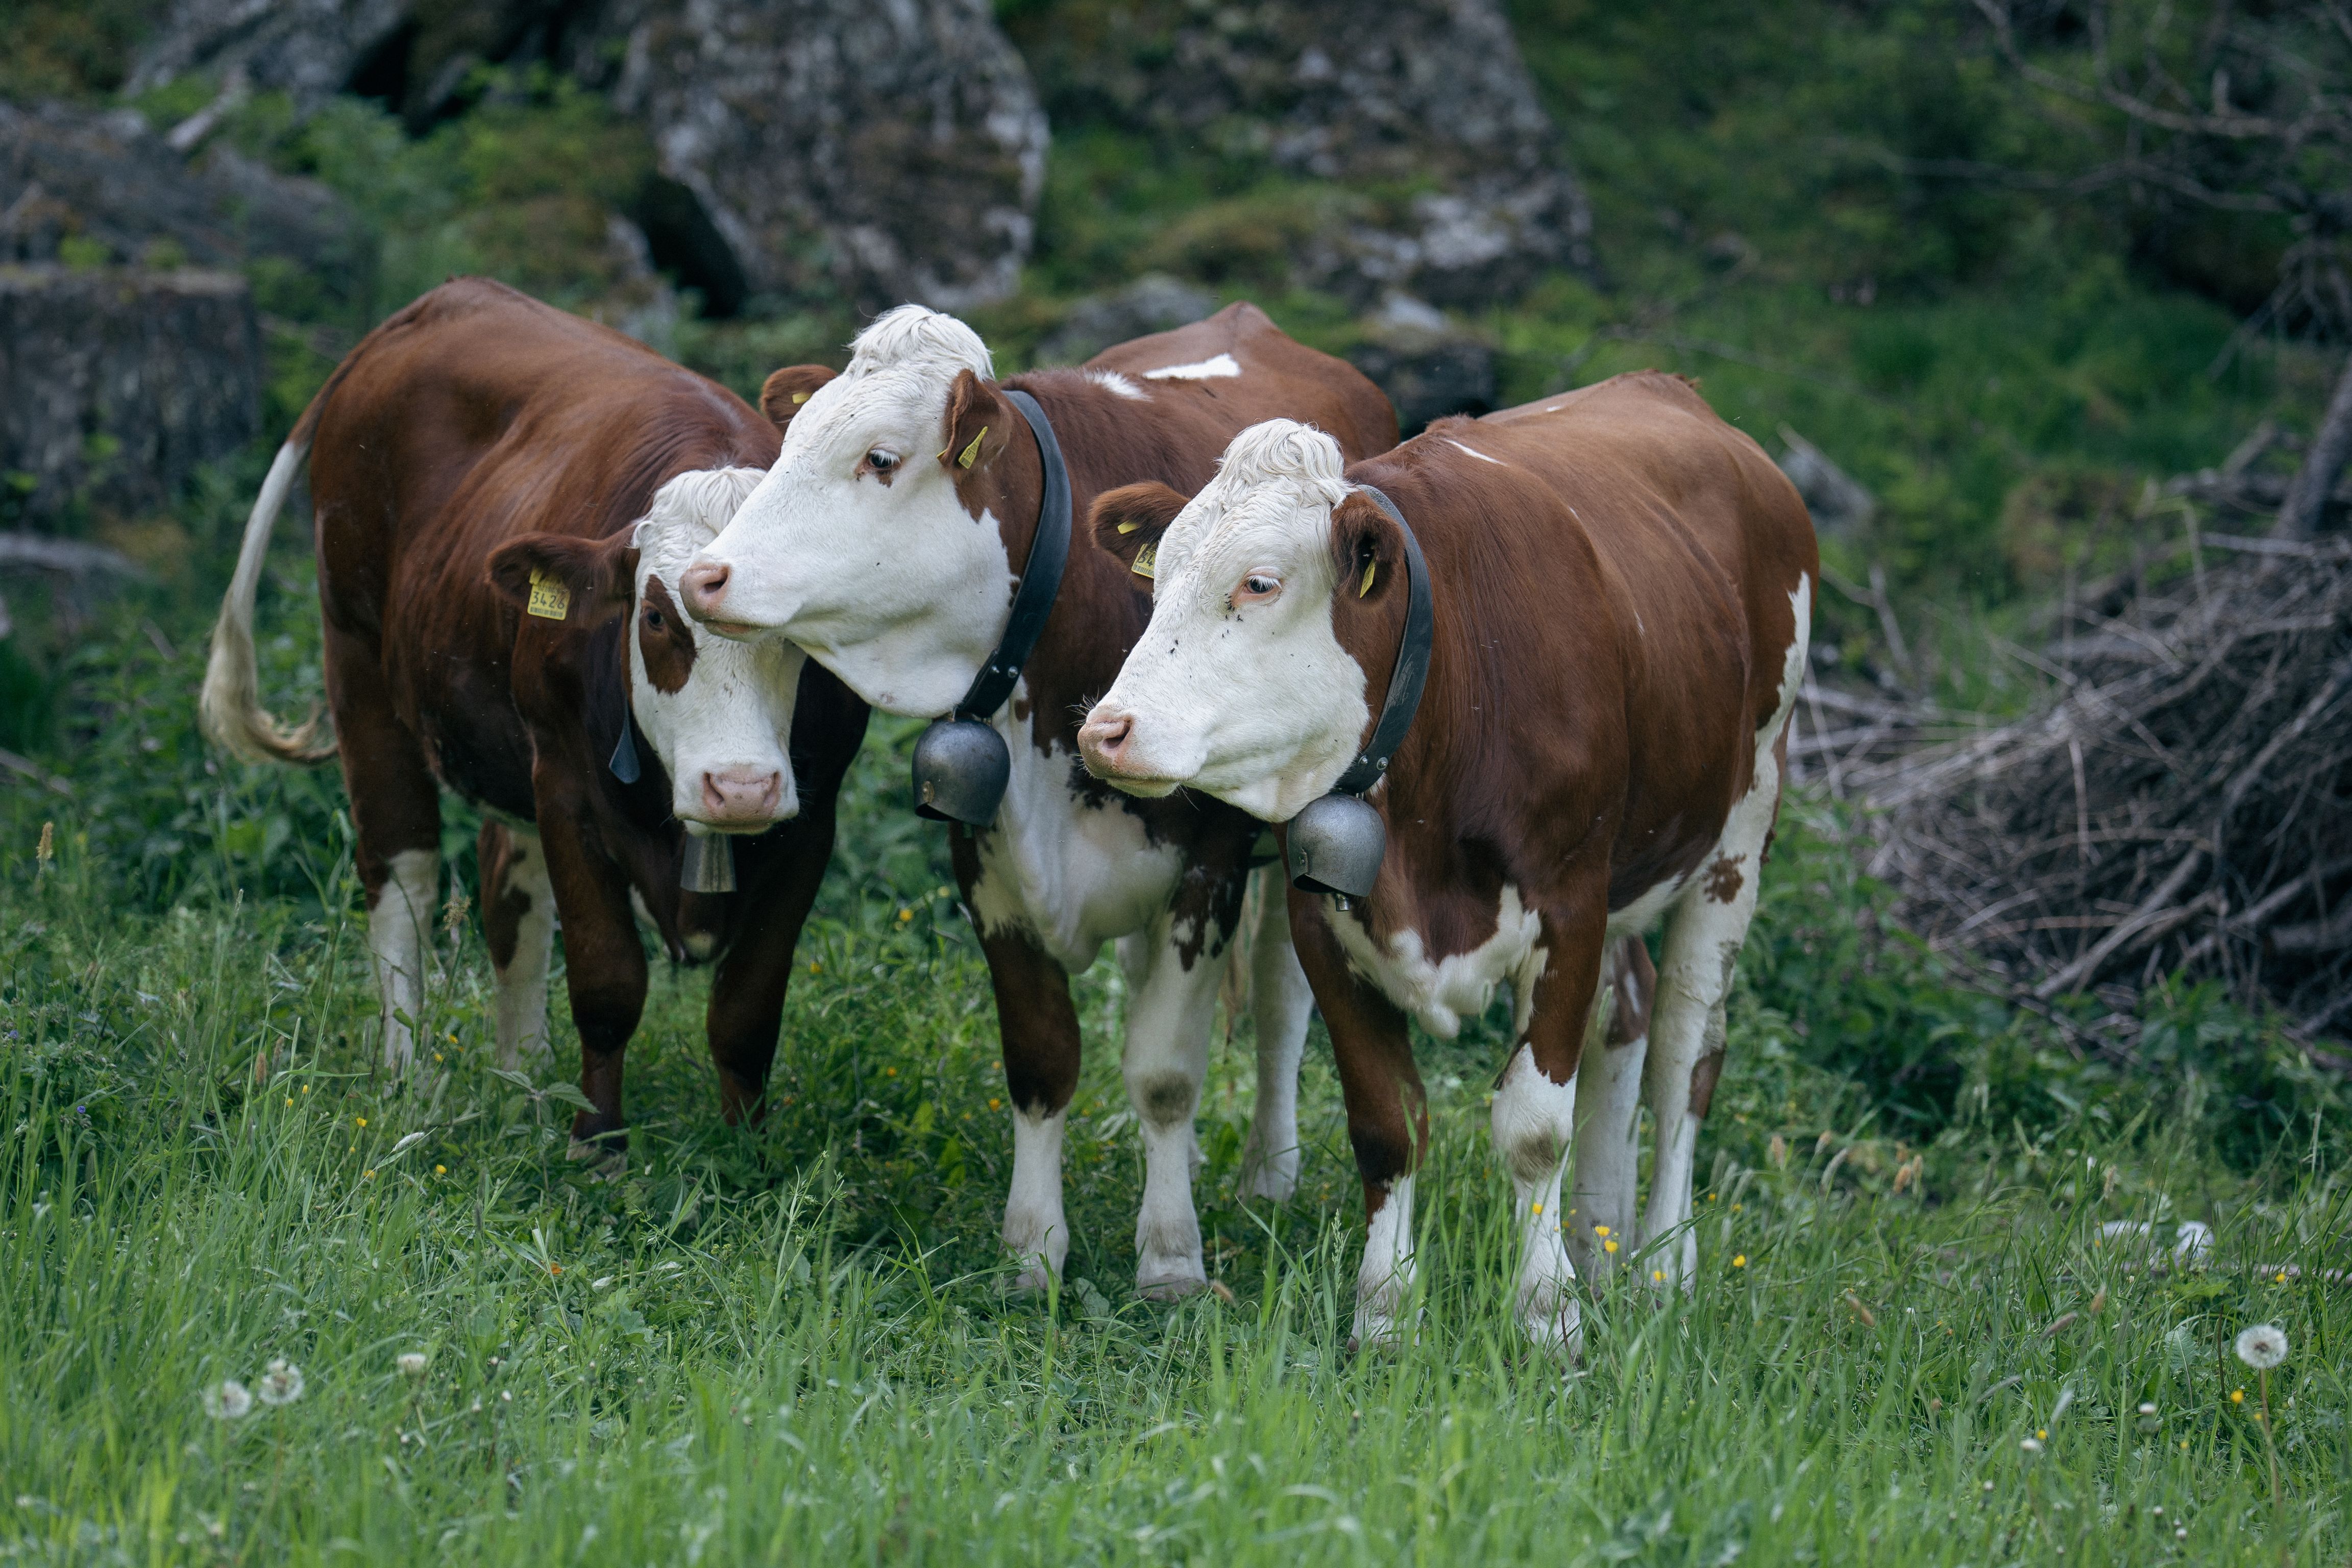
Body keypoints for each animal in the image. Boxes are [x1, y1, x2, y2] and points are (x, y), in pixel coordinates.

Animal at [199, 277, 870, 1155]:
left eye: (793, 617)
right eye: (656, 618)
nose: (741, 787)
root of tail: (438, 302)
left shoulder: (813, 813)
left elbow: (748, 1007)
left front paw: (748, 1152)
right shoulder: (568, 788)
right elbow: (608, 979)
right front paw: (598, 1144)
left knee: (507, 896)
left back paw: (525, 1080)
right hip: (357, 663)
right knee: (402, 878)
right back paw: (405, 1082)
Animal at [678, 303, 1398, 1297]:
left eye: (879, 458)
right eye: (793, 438)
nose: (703, 577)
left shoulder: (1206, 874)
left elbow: (1166, 1074)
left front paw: (1170, 1258)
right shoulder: (986, 866)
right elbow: (1041, 1058)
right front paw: (1030, 1251)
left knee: (1281, 1002)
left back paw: (1266, 1173)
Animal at [1074, 372, 1817, 1350]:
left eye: (1259, 583)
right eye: (1157, 580)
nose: (1105, 730)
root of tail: (1672, 391)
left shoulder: (1569, 911)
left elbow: (1534, 1127)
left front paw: (1546, 1320)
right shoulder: (1327, 925)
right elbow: (1387, 1124)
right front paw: (1385, 1315)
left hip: (1741, 828)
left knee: (1683, 1049)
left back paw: (1664, 1268)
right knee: (1628, 1014)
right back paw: (1600, 1240)